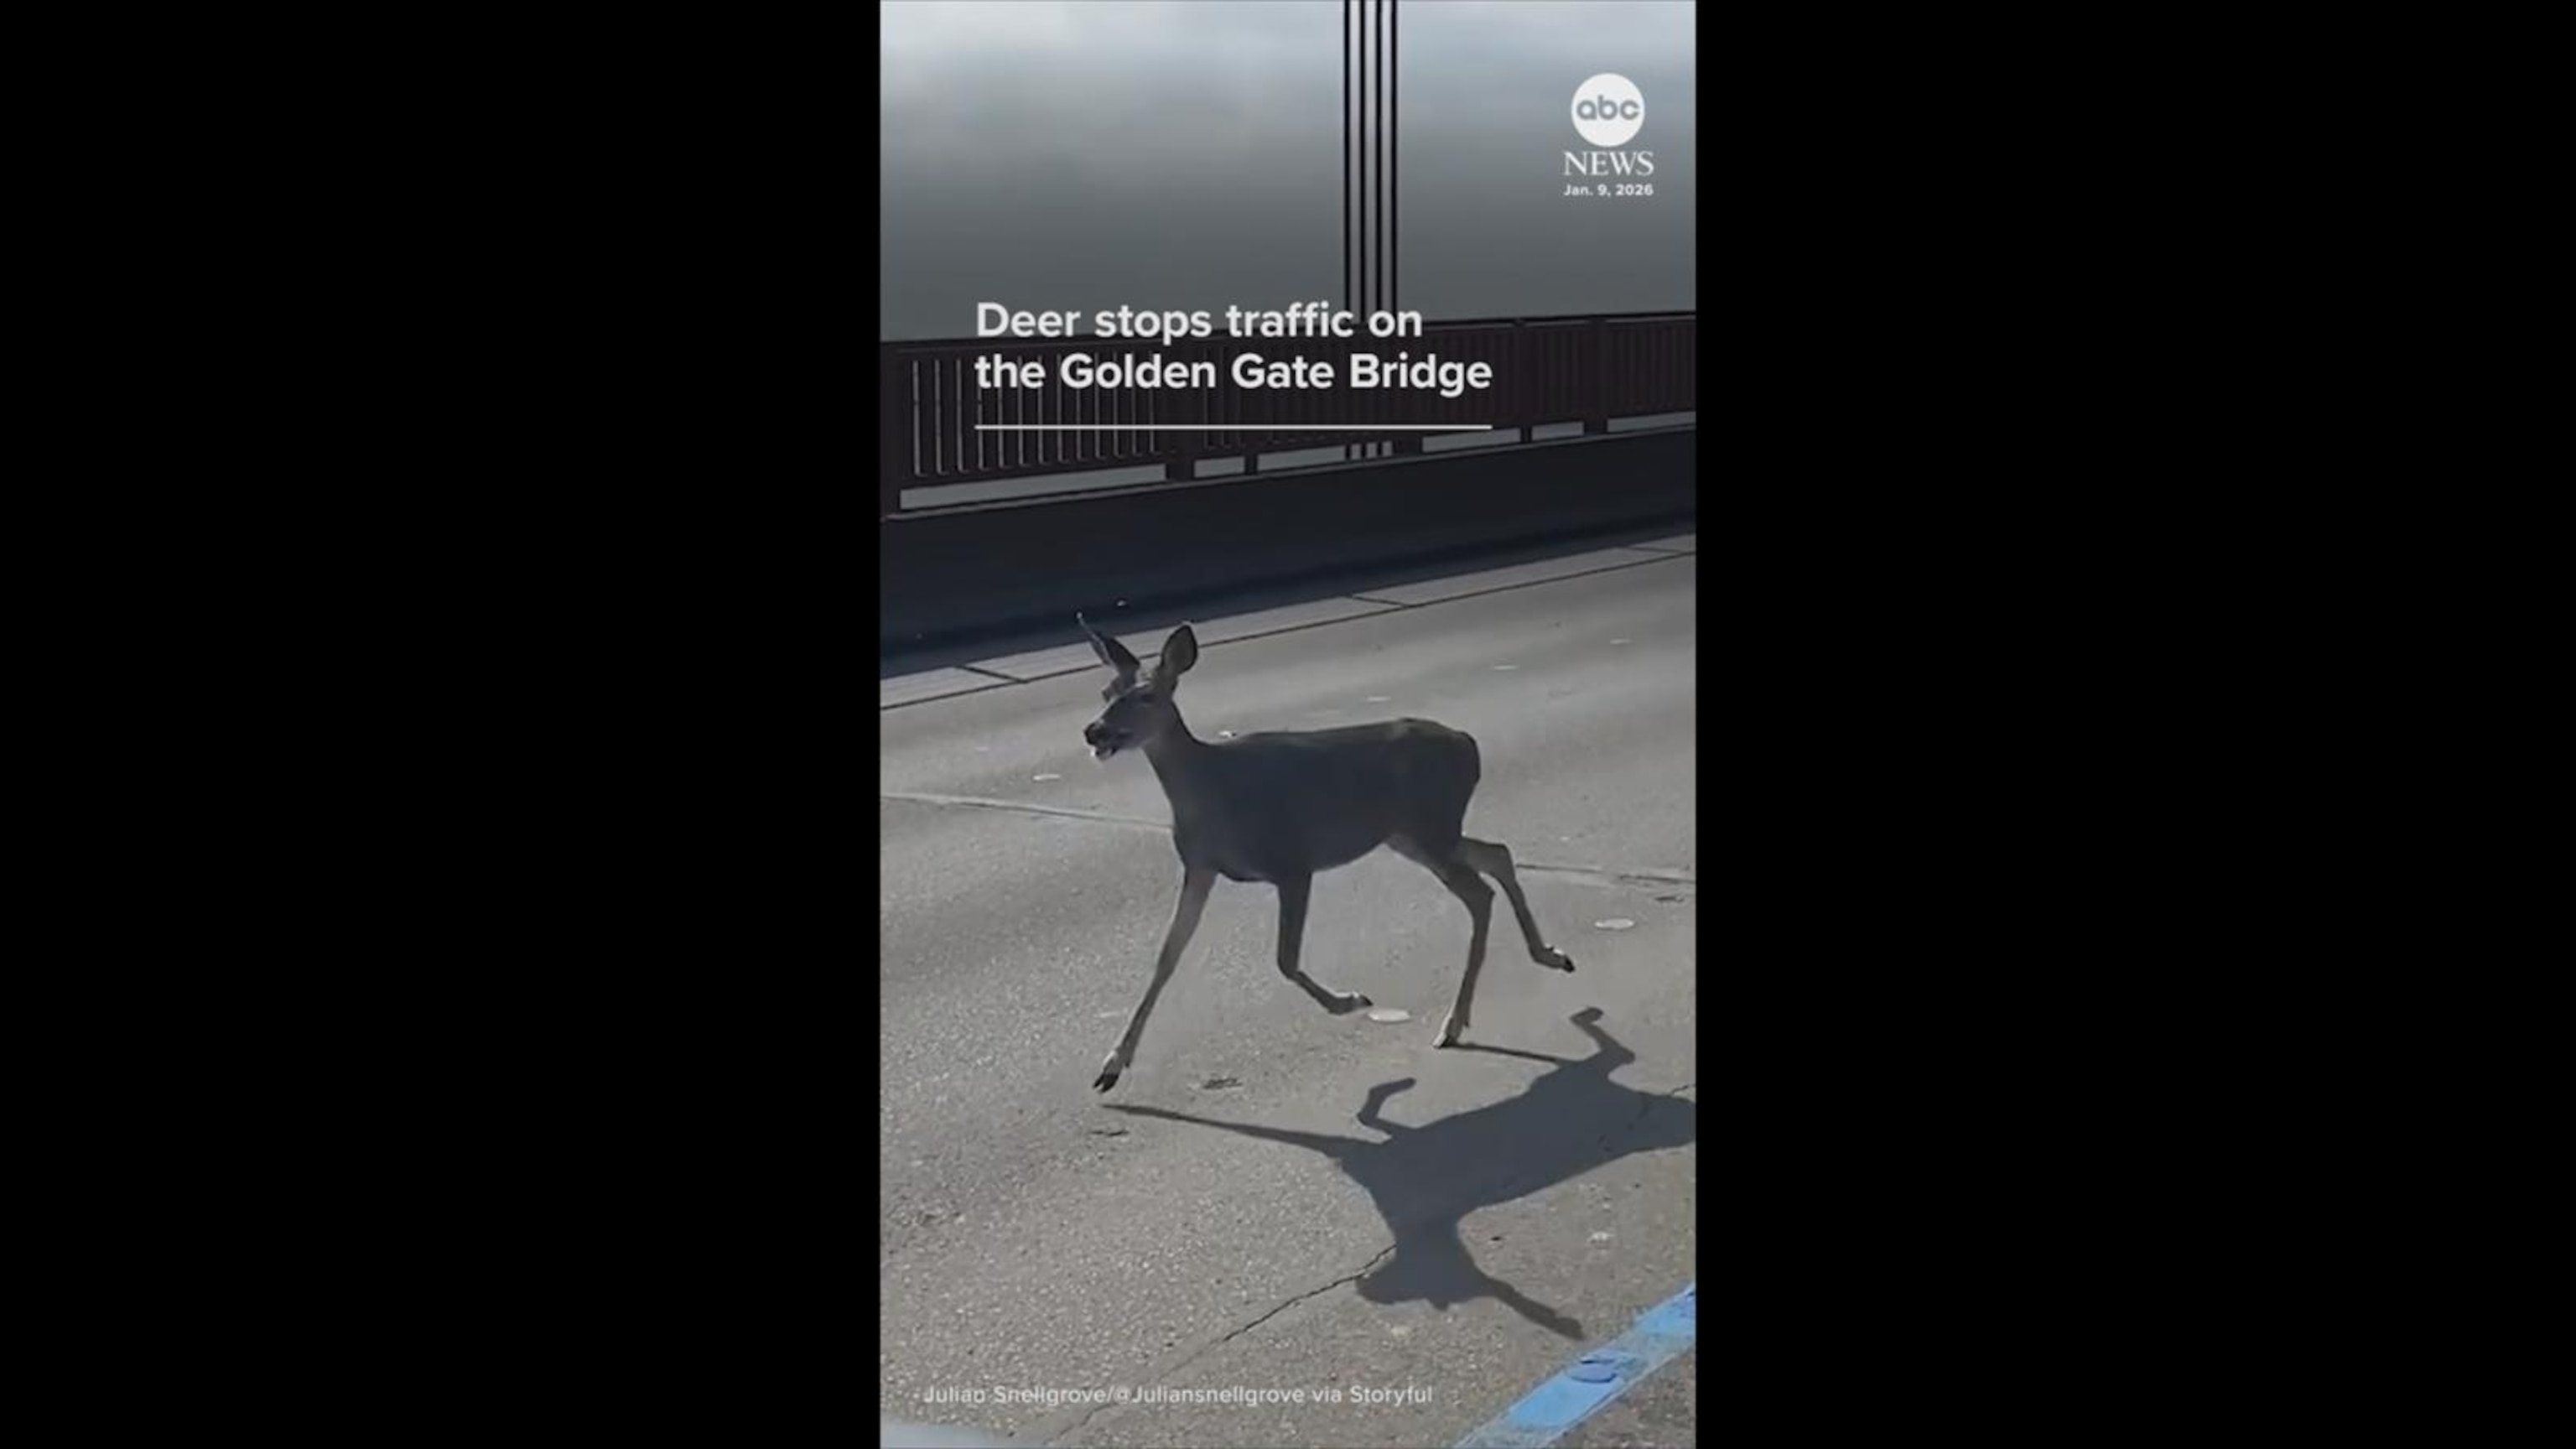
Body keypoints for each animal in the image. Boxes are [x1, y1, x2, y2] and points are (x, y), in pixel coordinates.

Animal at [1077, 614, 1575, 1092]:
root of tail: (1468, 742)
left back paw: (1454, 1023)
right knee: (1497, 855)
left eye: (1146, 696)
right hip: (1413, 834)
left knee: (1479, 892)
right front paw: (1111, 1066)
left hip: (1430, 826)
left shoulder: (1291, 862)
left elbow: (1285, 958)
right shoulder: (1200, 867)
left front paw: (1351, 1000)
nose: (1094, 730)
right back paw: (1549, 957)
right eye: (1106, 691)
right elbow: (1166, 958)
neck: (1211, 789)